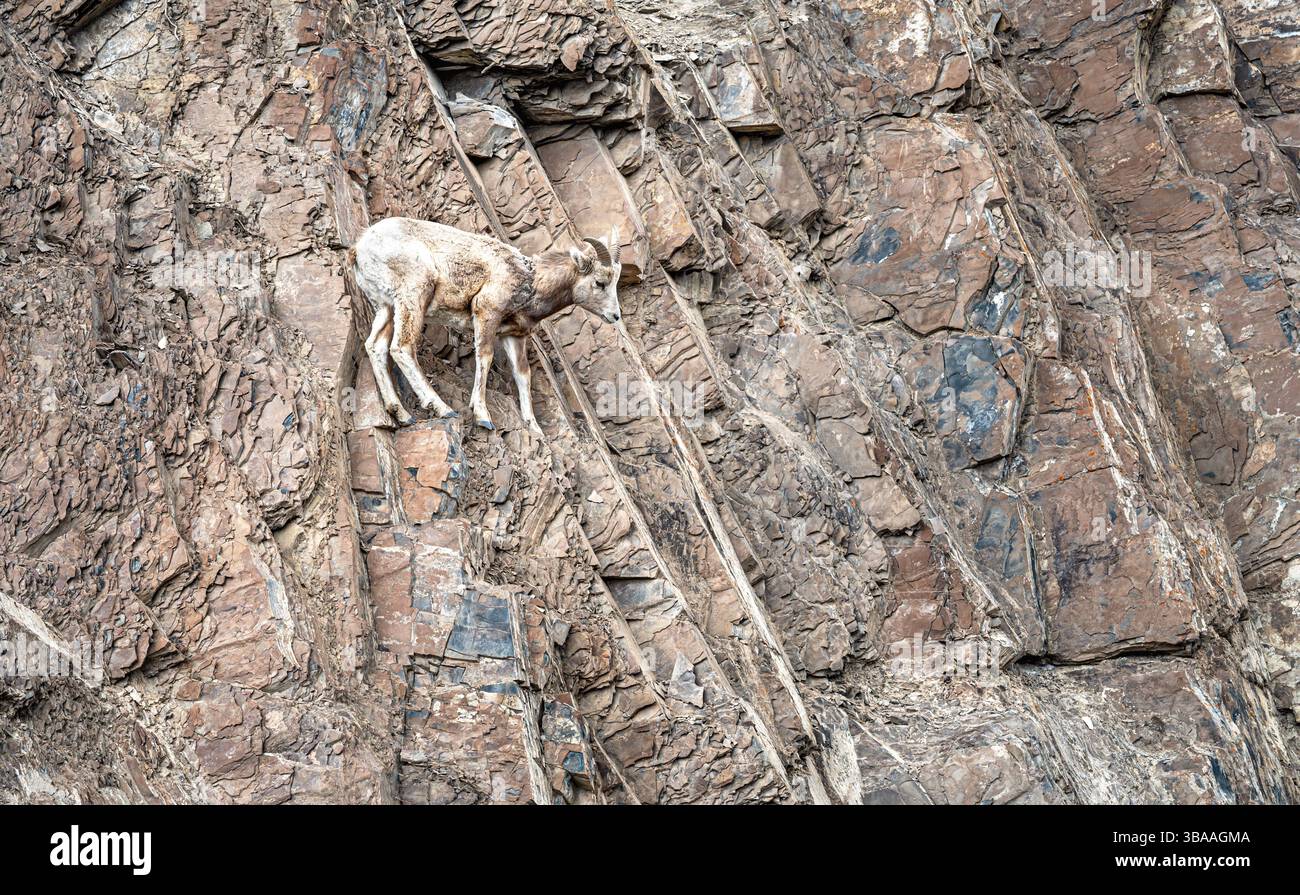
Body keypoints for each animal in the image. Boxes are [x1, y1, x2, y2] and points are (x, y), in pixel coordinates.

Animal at [351, 217, 622, 432]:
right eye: (599, 282)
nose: (615, 316)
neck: (530, 281)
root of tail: (360, 247)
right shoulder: (486, 313)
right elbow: (485, 356)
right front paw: (483, 417)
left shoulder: (515, 336)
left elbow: (523, 374)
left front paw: (535, 428)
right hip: (413, 296)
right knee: (402, 347)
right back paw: (443, 409)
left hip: (387, 307)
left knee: (375, 346)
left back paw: (401, 414)